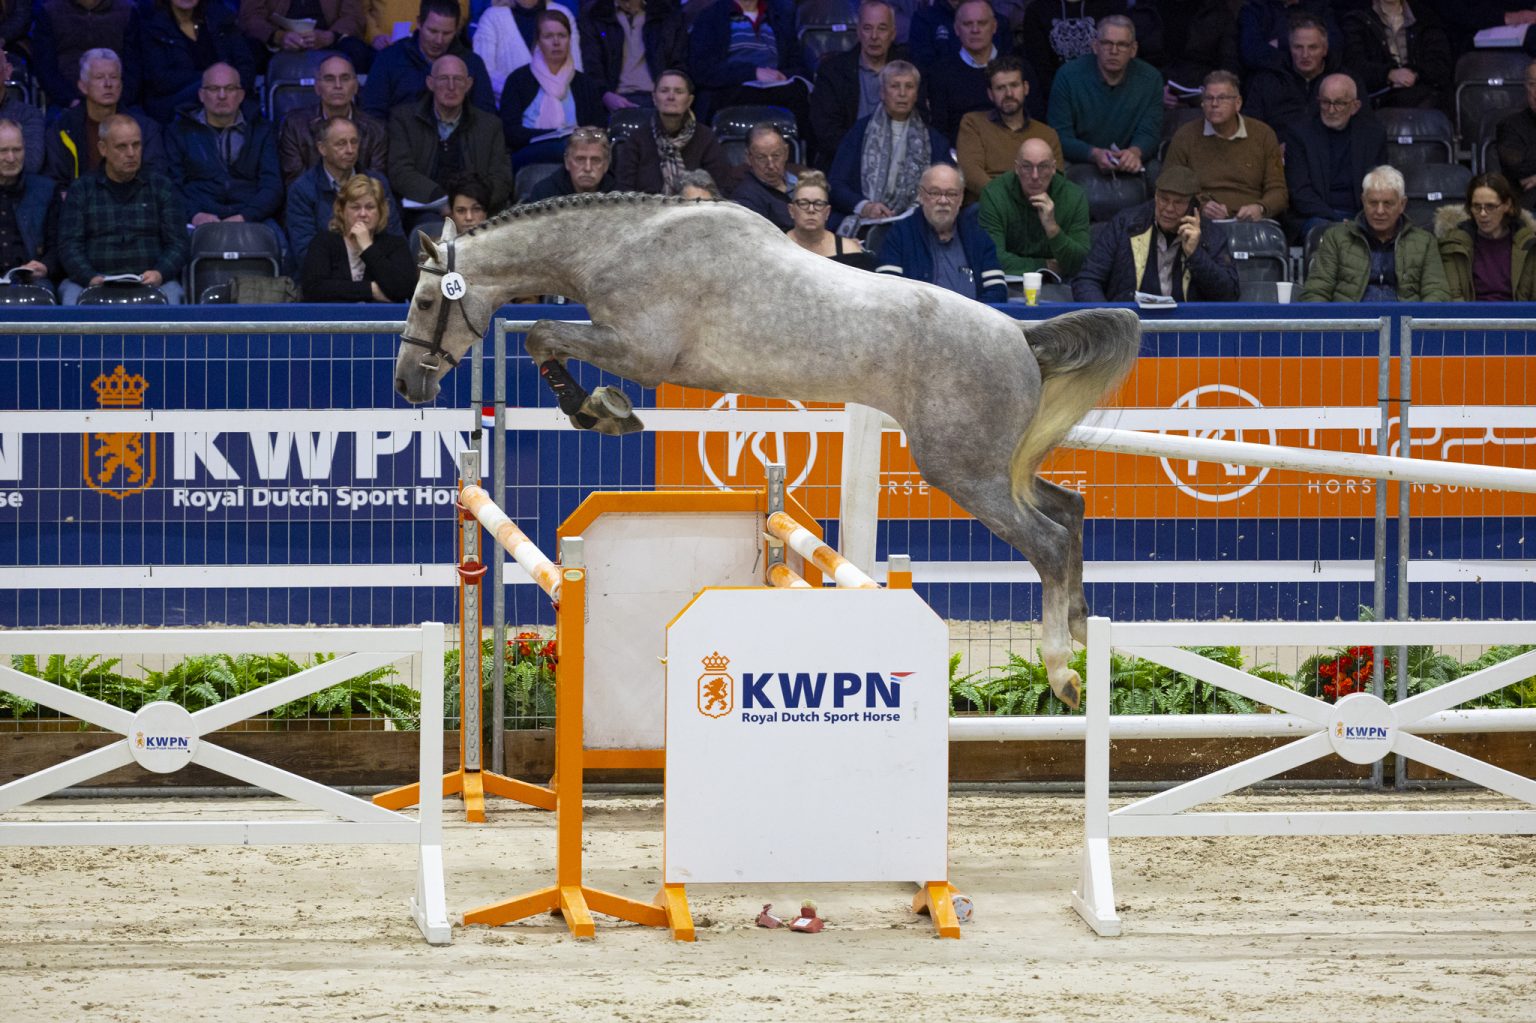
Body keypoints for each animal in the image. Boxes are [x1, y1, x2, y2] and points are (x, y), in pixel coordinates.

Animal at [394, 192, 1140, 707]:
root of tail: (1021, 337)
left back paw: (1063, 673)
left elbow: (541, 334)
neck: (620, 245)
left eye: (428, 300)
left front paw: (598, 409)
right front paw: (600, 409)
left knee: (1046, 540)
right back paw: (1083, 631)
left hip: (964, 471)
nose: (406, 384)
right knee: (1069, 508)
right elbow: (542, 338)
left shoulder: (639, 350)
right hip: (992, 467)